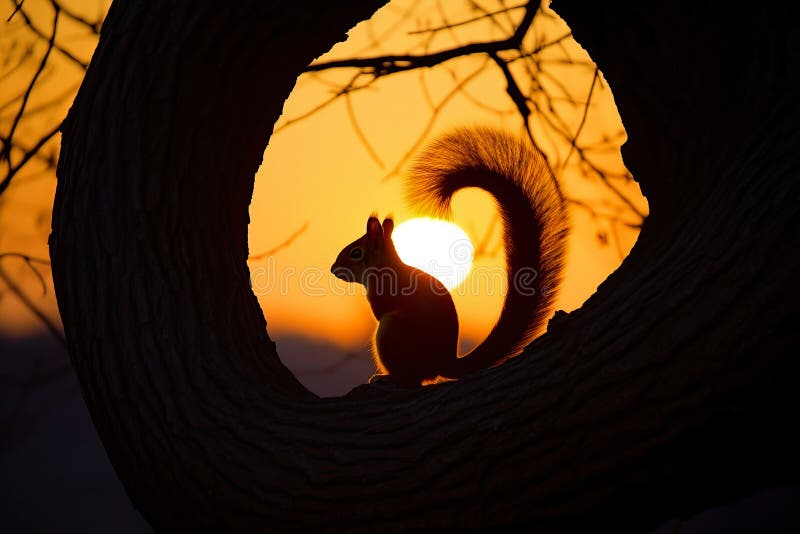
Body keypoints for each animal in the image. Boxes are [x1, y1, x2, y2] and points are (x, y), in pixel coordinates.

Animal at [331, 127, 569, 386]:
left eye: (356, 253)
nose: (333, 269)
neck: (386, 265)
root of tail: (442, 363)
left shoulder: (384, 291)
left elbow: (379, 308)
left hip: (390, 331)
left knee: (412, 379)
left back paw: (387, 377)